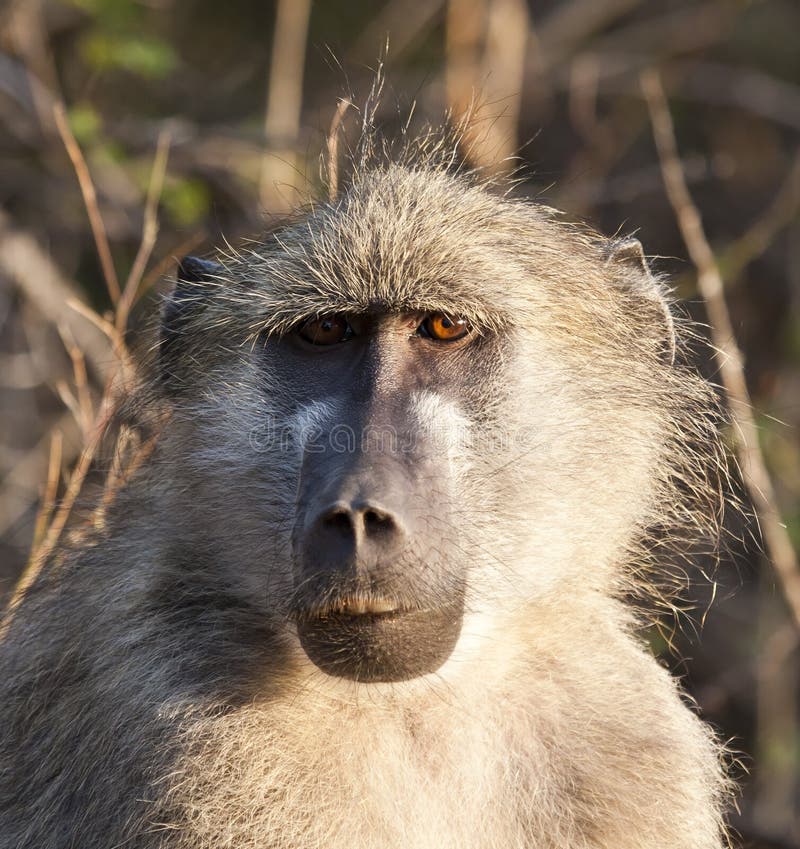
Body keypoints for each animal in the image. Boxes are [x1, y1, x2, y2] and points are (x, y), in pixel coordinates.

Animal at [0, 132, 732, 849]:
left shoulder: (626, 726)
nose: (354, 514)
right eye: (326, 332)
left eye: (443, 328)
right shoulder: (191, 733)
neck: (421, 700)